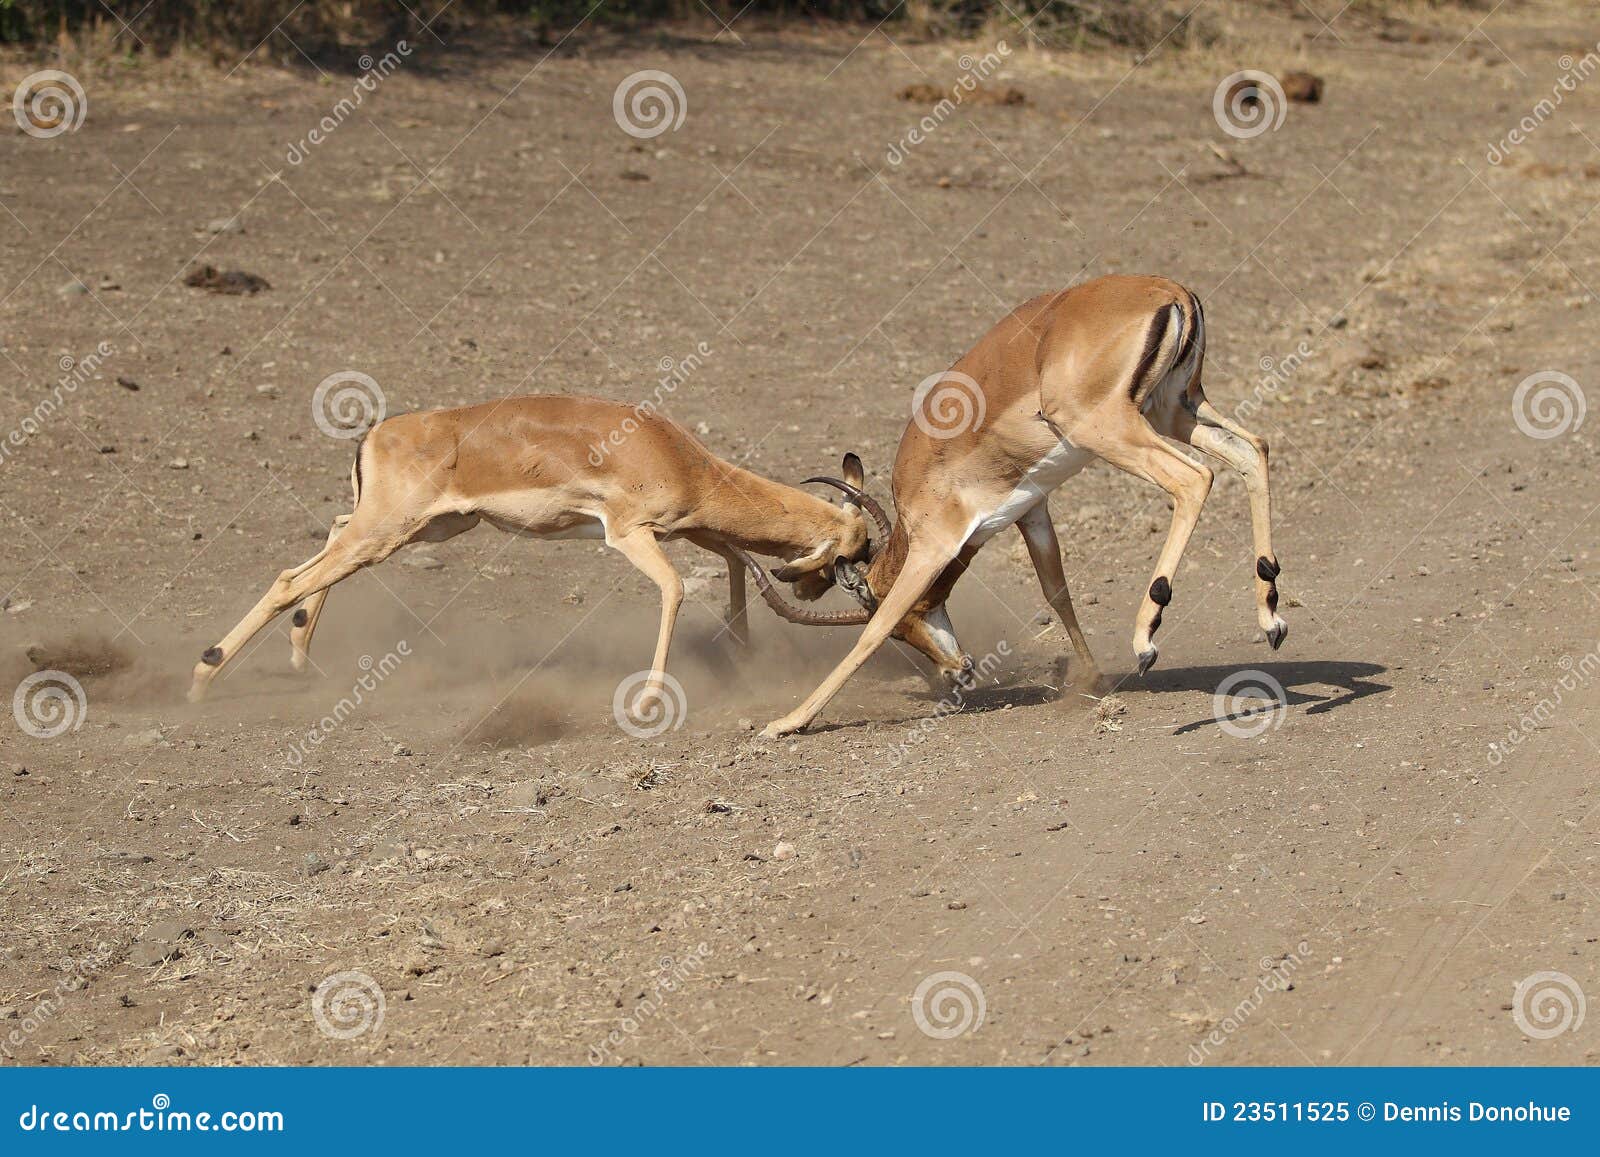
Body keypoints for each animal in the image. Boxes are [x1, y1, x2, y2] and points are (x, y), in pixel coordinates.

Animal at [186, 395, 896, 710]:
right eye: (853, 555)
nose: (809, 588)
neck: (679, 458)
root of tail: (376, 434)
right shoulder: (629, 533)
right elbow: (674, 589)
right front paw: (648, 701)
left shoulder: (687, 529)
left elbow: (729, 565)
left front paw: (744, 656)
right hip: (393, 530)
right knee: (289, 577)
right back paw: (202, 680)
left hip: (425, 529)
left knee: (325, 543)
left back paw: (301, 658)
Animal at [759, 274, 1287, 737]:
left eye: (902, 636)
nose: (958, 671)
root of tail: (1170, 291)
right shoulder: (1030, 509)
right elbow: (1057, 591)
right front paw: (1091, 681)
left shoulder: (935, 544)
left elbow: (873, 630)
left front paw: (786, 723)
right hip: (1175, 409)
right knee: (1253, 449)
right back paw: (1272, 619)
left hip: (1112, 429)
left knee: (1195, 478)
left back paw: (1146, 640)